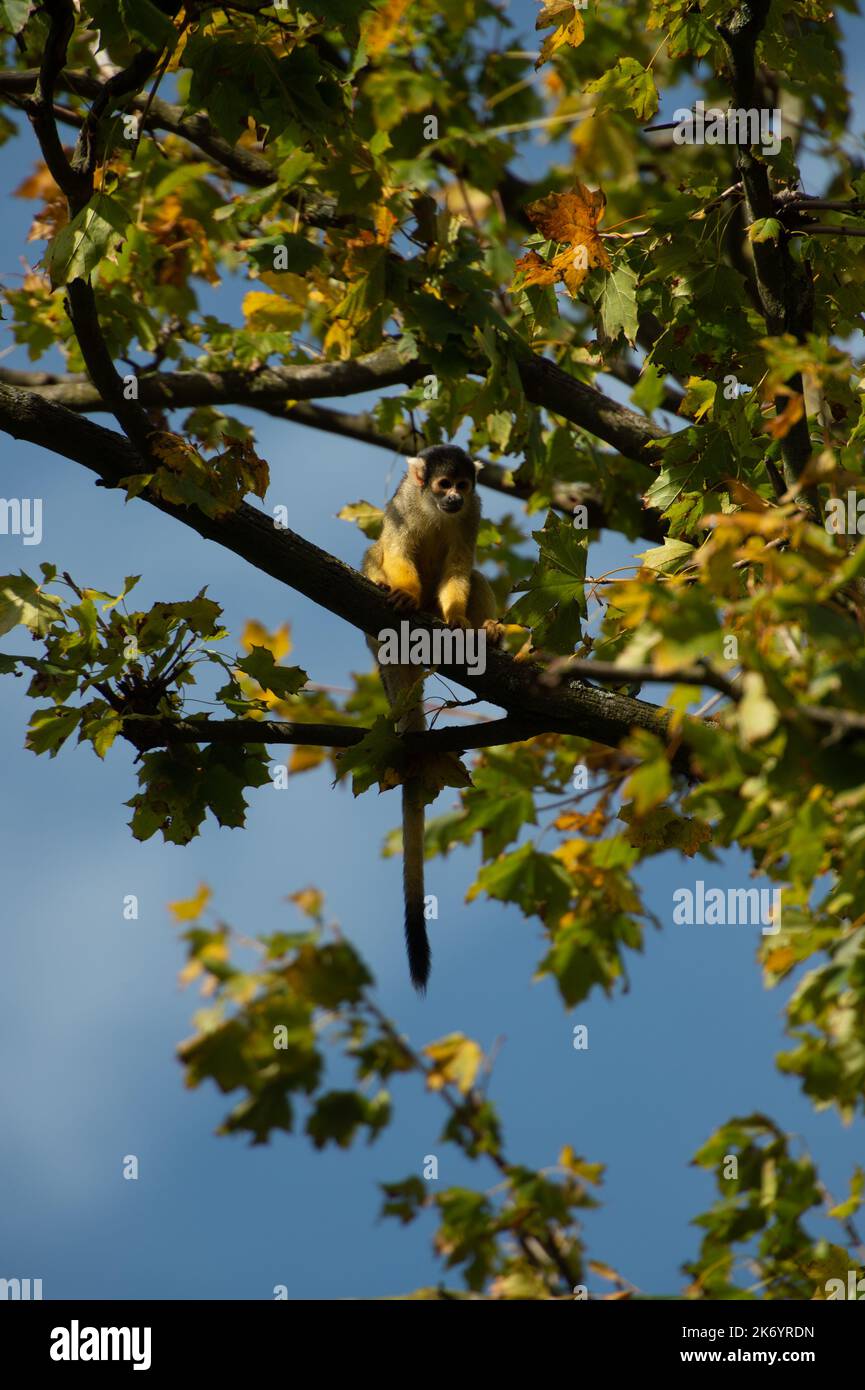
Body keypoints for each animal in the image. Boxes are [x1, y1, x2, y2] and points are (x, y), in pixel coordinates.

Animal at [363, 445, 501, 993]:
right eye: (444, 484)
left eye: (463, 486)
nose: (454, 498)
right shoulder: (402, 507)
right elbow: (395, 547)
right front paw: (399, 591)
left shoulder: (476, 512)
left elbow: (462, 568)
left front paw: (461, 620)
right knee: (374, 554)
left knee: (475, 574)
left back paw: (490, 631)